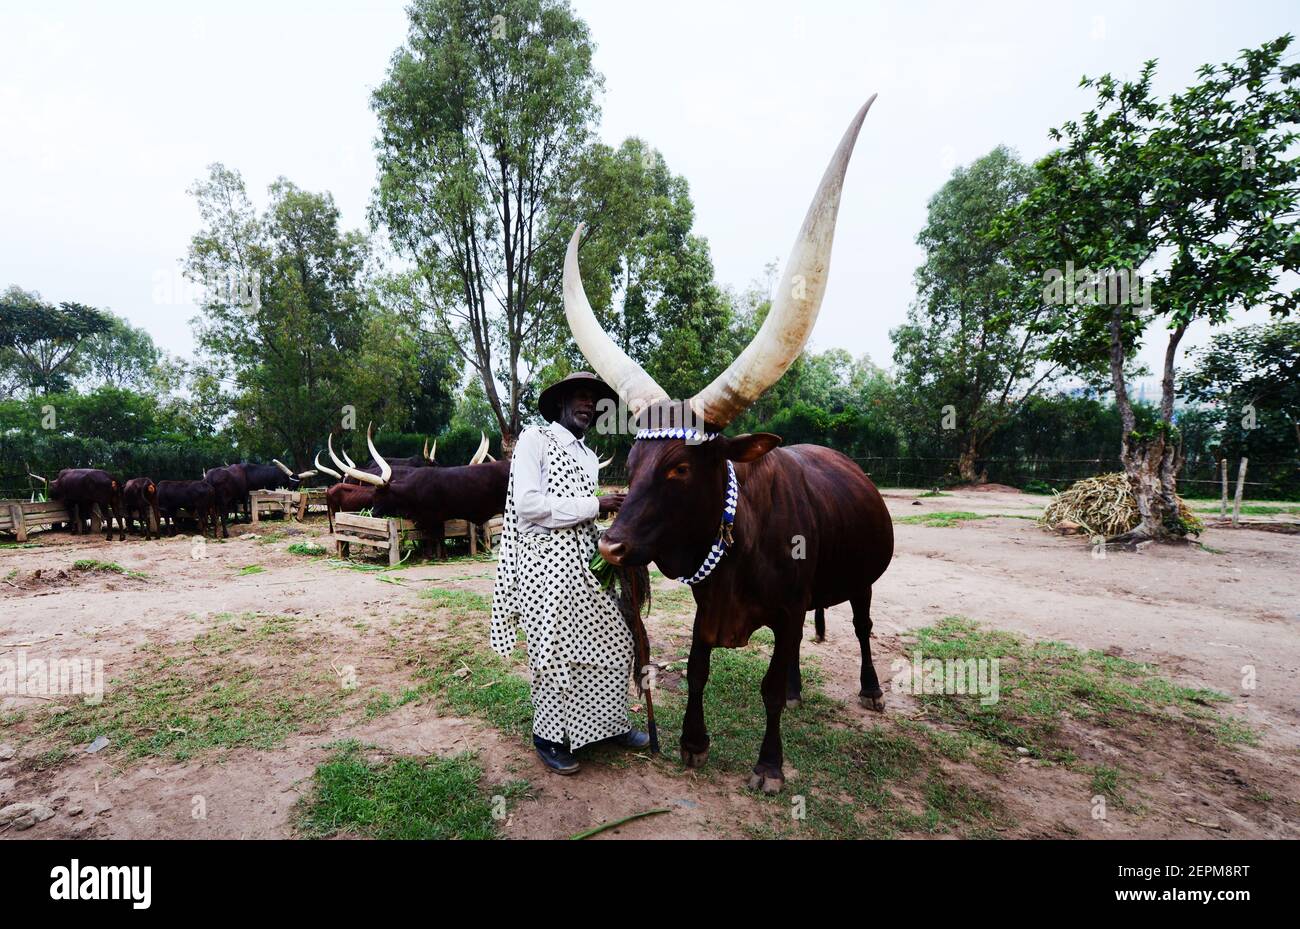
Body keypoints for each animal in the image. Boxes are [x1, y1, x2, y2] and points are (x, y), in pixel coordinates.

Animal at [559, 97, 890, 794]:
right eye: (632, 461)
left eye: (682, 468)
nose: (611, 545)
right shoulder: (707, 607)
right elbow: (699, 667)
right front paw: (691, 742)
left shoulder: (788, 608)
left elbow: (764, 683)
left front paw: (768, 764)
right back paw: (797, 687)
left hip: (863, 581)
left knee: (862, 626)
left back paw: (871, 689)